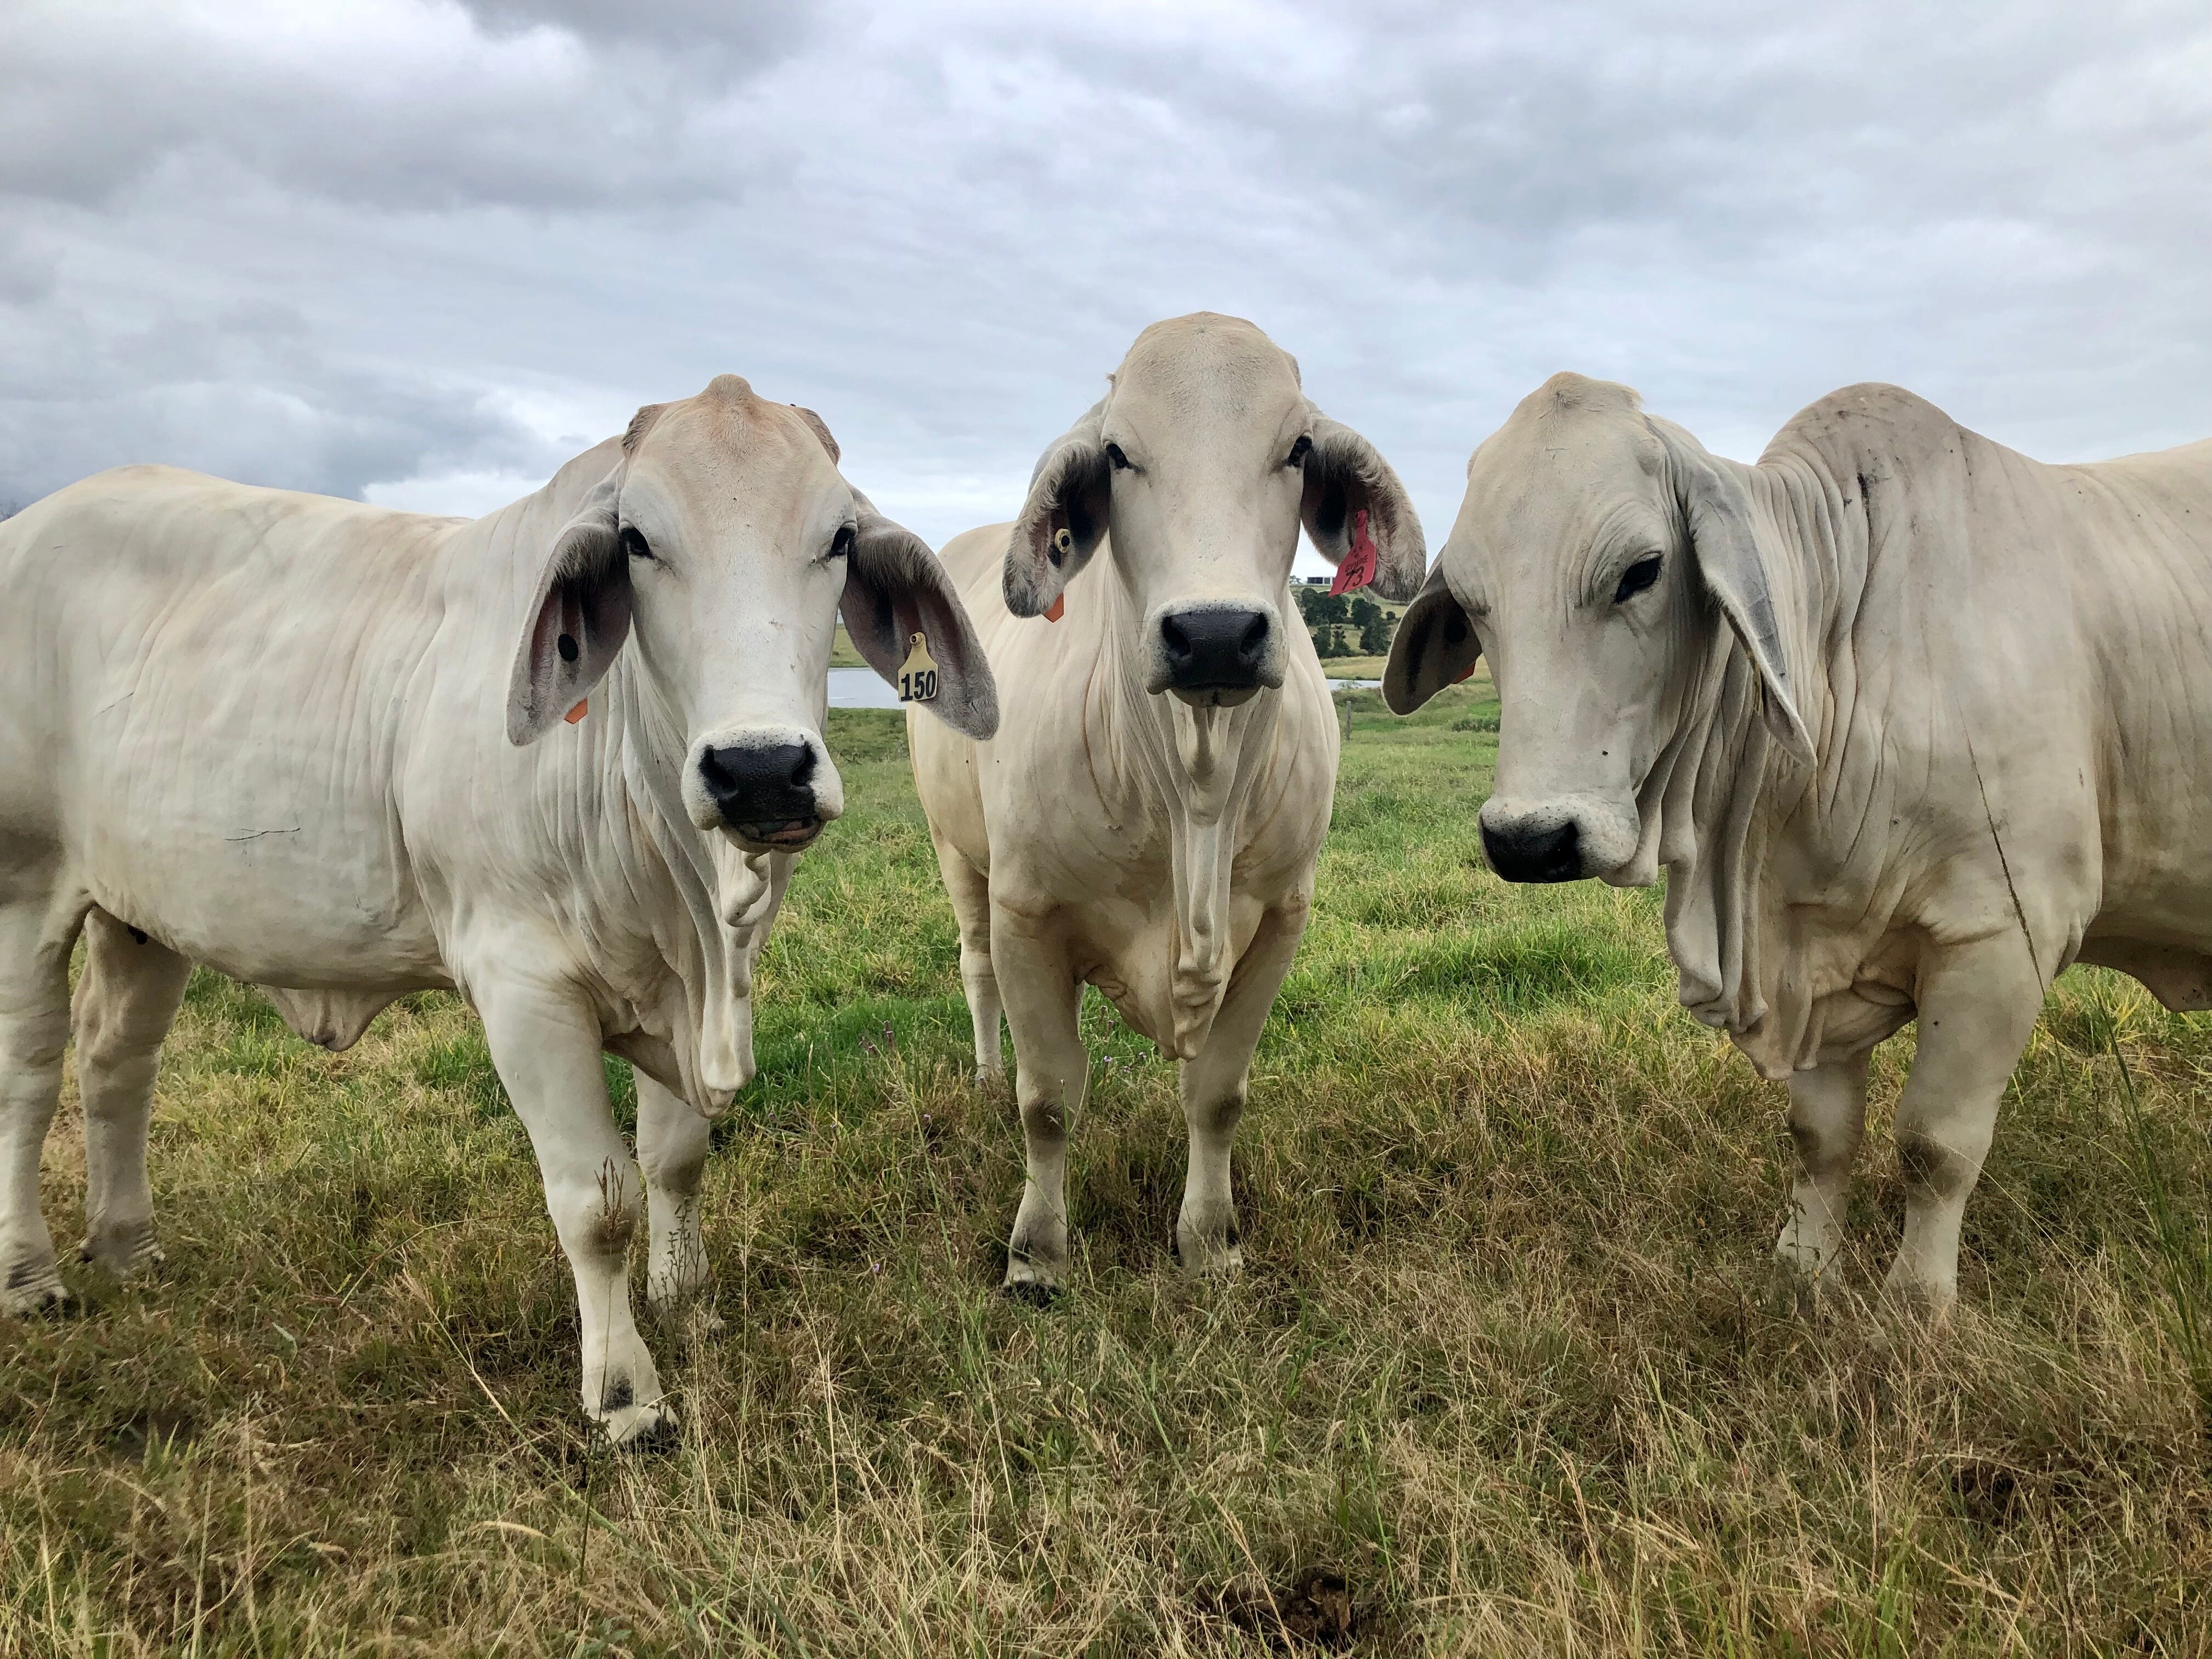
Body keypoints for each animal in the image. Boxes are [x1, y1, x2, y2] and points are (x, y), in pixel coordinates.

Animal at [0, 374, 996, 1444]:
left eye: (840, 535)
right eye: (636, 539)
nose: (760, 769)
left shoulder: (680, 982)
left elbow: (676, 1158)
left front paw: (687, 1299)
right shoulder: (523, 988)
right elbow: (597, 1200)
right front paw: (626, 1394)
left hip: (140, 914)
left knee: (118, 1061)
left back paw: (129, 1246)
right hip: (24, 888)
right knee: (29, 1072)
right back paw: (31, 1275)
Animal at [909, 314, 1424, 1293]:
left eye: (1298, 447)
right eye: (1117, 453)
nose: (1215, 634)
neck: (1195, 796)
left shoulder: (1281, 919)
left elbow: (1216, 1095)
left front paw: (1210, 1240)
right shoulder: (1028, 915)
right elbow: (1049, 1102)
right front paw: (1038, 1253)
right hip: (958, 855)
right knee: (975, 968)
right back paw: (986, 1077)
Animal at [1385, 371, 2212, 1310]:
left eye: (1641, 572)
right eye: (1472, 601)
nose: (1530, 841)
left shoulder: (2002, 937)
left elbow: (1935, 1147)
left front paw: (1915, 1306)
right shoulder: (1812, 947)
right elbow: (1819, 1135)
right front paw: (1803, 1270)